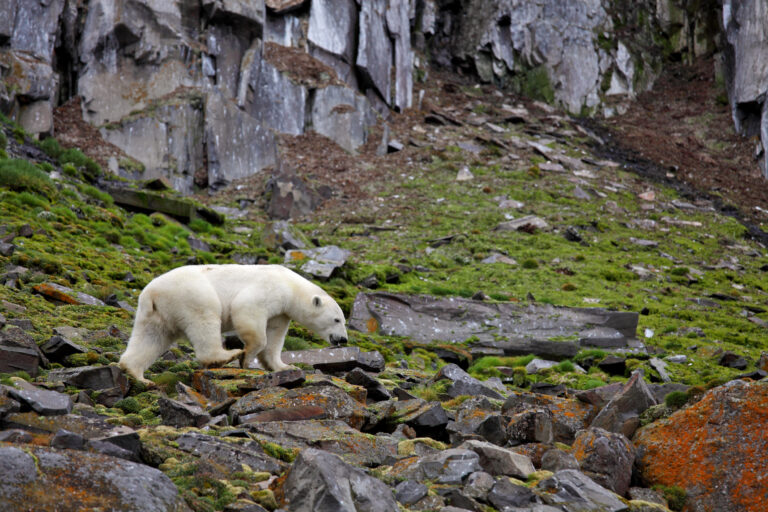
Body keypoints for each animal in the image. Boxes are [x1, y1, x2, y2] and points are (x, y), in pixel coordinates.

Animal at [118, 264, 348, 385]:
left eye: (344, 321)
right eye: (337, 319)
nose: (343, 339)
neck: (290, 286)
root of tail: (152, 293)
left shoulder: (281, 313)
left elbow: (275, 336)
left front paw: (284, 366)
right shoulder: (269, 290)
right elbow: (247, 311)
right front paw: (246, 357)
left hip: (155, 314)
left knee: (150, 338)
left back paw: (138, 375)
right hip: (191, 296)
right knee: (205, 321)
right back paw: (226, 355)